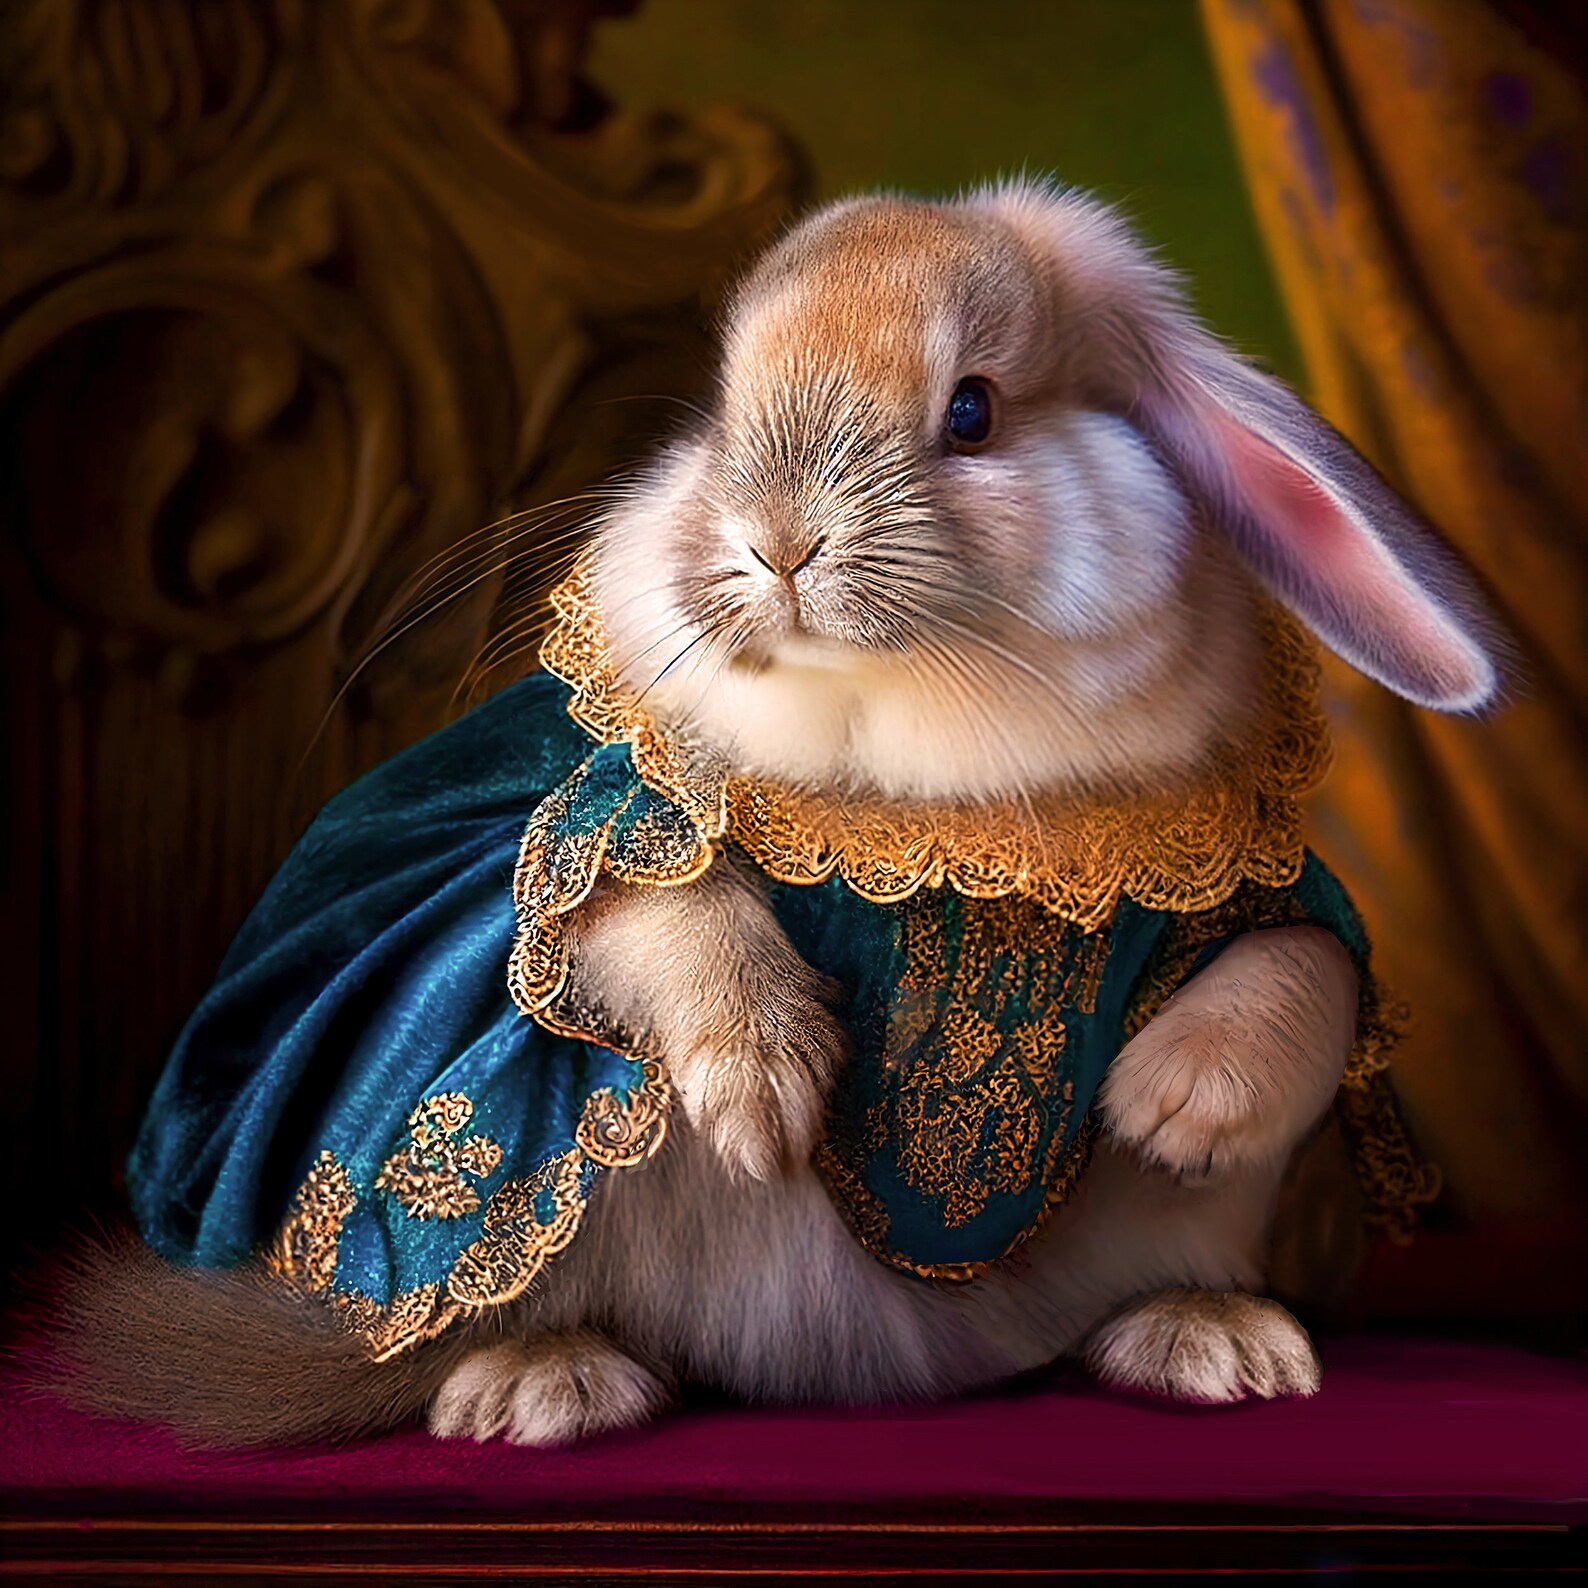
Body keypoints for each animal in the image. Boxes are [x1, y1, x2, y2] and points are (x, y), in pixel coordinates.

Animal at [53, 181, 1503, 1449]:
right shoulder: (602, 818)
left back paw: (1210, 1338)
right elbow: (647, 908)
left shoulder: (1249, 885)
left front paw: (1170, 1106)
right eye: (719, 406)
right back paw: (539, 1383)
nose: (778, 541)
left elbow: (1307, 971)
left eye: (971, 412)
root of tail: (877, 1363)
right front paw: (764, 1095)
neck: (906, 769)